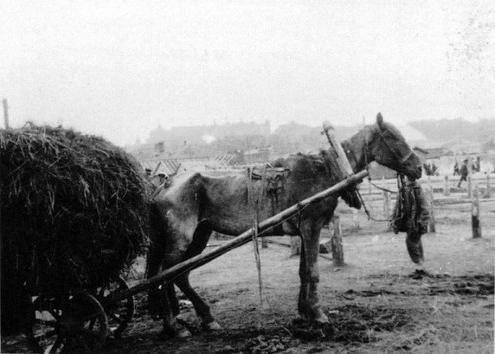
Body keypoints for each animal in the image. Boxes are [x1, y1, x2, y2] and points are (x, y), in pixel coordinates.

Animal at [146, 113, 422, 338]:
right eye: (392, 137)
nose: (418, 167)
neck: (325, 170)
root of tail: (165, 185)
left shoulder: (304, 231)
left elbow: (303, 271)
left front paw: (303, 312)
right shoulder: (312, 227)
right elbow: (312, 271)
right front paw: (318, 314)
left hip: (199, 236)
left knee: (179, 275)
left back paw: (205, 318)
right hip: (181, 240)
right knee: (164, 275)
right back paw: (174, 326)